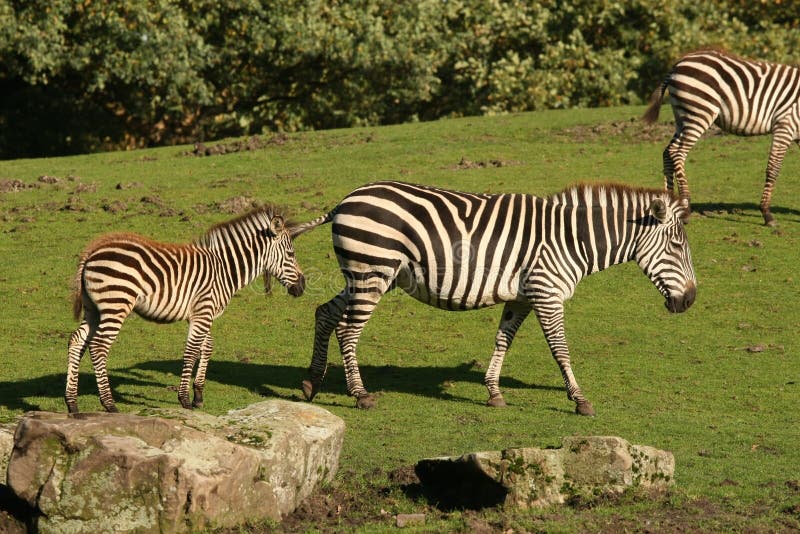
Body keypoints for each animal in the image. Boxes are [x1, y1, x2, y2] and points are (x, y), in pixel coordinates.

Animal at [66, 206, 305, 414]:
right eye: (291, 254)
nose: (302, 287)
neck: (224, 269)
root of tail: (92, 251)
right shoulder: (204, 311)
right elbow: (191, 352)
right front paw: (185, 399)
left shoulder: (202, 313)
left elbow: (207, 347)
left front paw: (198, 394)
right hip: (116, 304)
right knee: (98, 347)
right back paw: (109, 404)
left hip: (94, 309)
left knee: (77, 340)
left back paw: (72, 403)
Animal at [290, 181, 696, 416]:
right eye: (677, 247)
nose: (690, 301)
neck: (572, 238)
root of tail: (346, 200)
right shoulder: (547, 293)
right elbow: (560, 350)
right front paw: (579, 399)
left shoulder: (522, 297)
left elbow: (503, 339)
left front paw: (493, 392)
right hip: (373, 270)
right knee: (348, 330)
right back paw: (360, 395)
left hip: (368, 274)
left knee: (325, 313)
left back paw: (311, 382)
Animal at [644, 48, 800, 226]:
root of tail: (677, 65)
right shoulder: (785, 125)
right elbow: (773, 168)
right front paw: (767, 213)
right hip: (699, 113)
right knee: (677, 152)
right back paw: (686, 207)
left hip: (682, 118)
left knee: (667, 152)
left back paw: (668, 204)